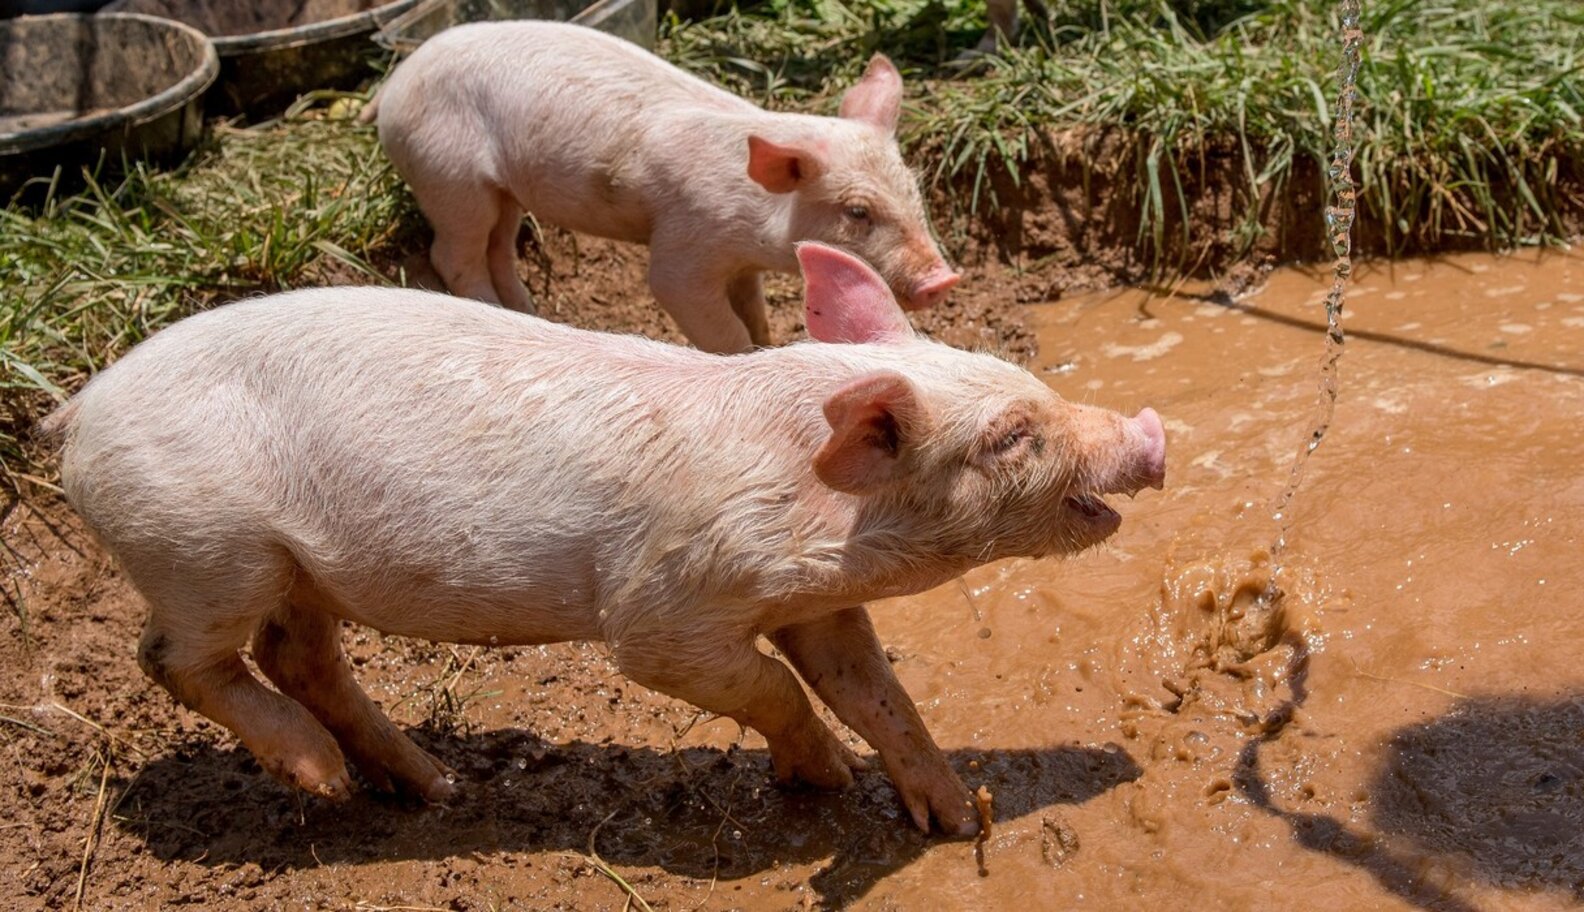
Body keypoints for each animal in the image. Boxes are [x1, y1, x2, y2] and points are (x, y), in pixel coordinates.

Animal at [43, 244, 1164, 835]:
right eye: (1009, 436)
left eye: (1027, 385)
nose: (1150, 432)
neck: (817, 511)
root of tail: (81, 411)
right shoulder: (660, 615)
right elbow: (770, 688)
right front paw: (828, 783)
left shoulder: (817, 600)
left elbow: (872, 689)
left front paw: (955, 819)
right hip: (201, 546)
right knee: (175, 657)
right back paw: (319, 779)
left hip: (292, 568)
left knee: (298, 654)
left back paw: (429, 788)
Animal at [365, 21, 960, 353]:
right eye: (857, 211)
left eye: (914, 190)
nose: (944, 279)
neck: (757, 222)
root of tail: (394, 83)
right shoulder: (686, 241)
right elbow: (699, 309)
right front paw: (748, 356)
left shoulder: (741, 265)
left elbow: (755, 311)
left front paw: (767, 338)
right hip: (448, 174)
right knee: (453, 254)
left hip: (501, 191)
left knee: (499, 247)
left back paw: (528, 312)